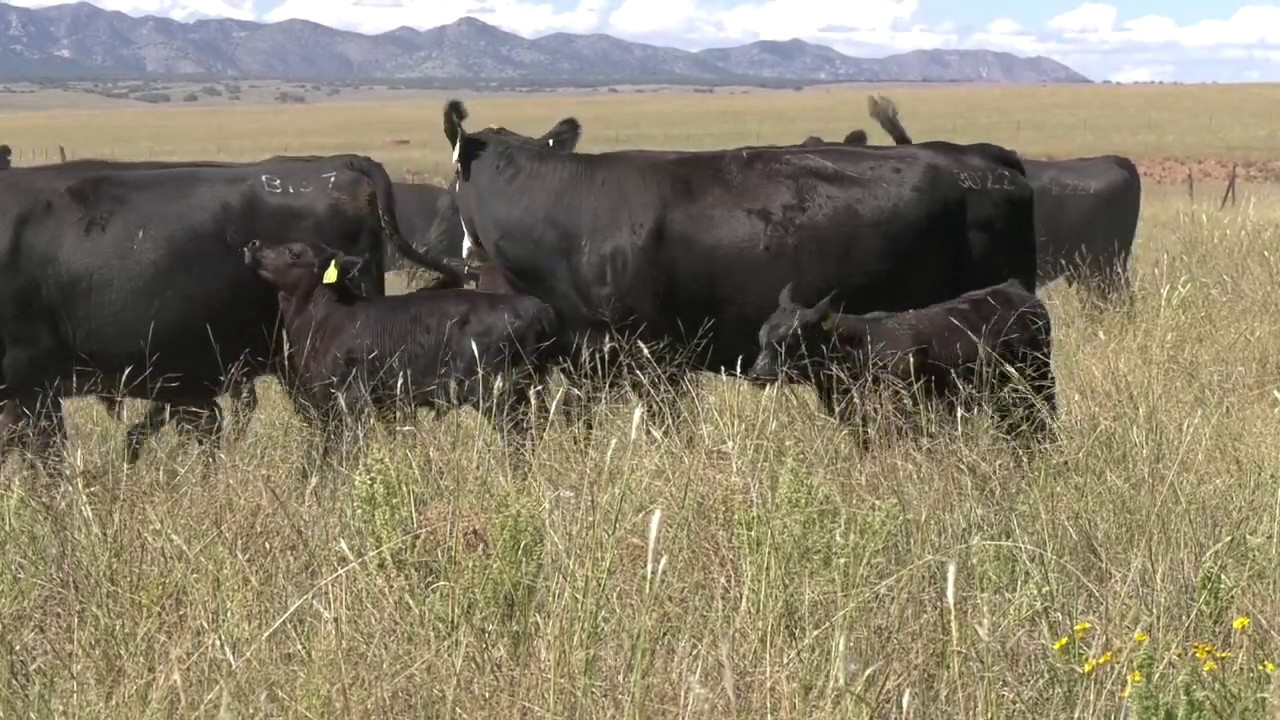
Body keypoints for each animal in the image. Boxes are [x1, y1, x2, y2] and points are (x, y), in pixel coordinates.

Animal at [243, 240, 559, 466]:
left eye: (293, 252)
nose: (254, 245)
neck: (327, 316)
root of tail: (535, 307)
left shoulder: (345, 397)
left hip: (498, 392)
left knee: (519, 437)